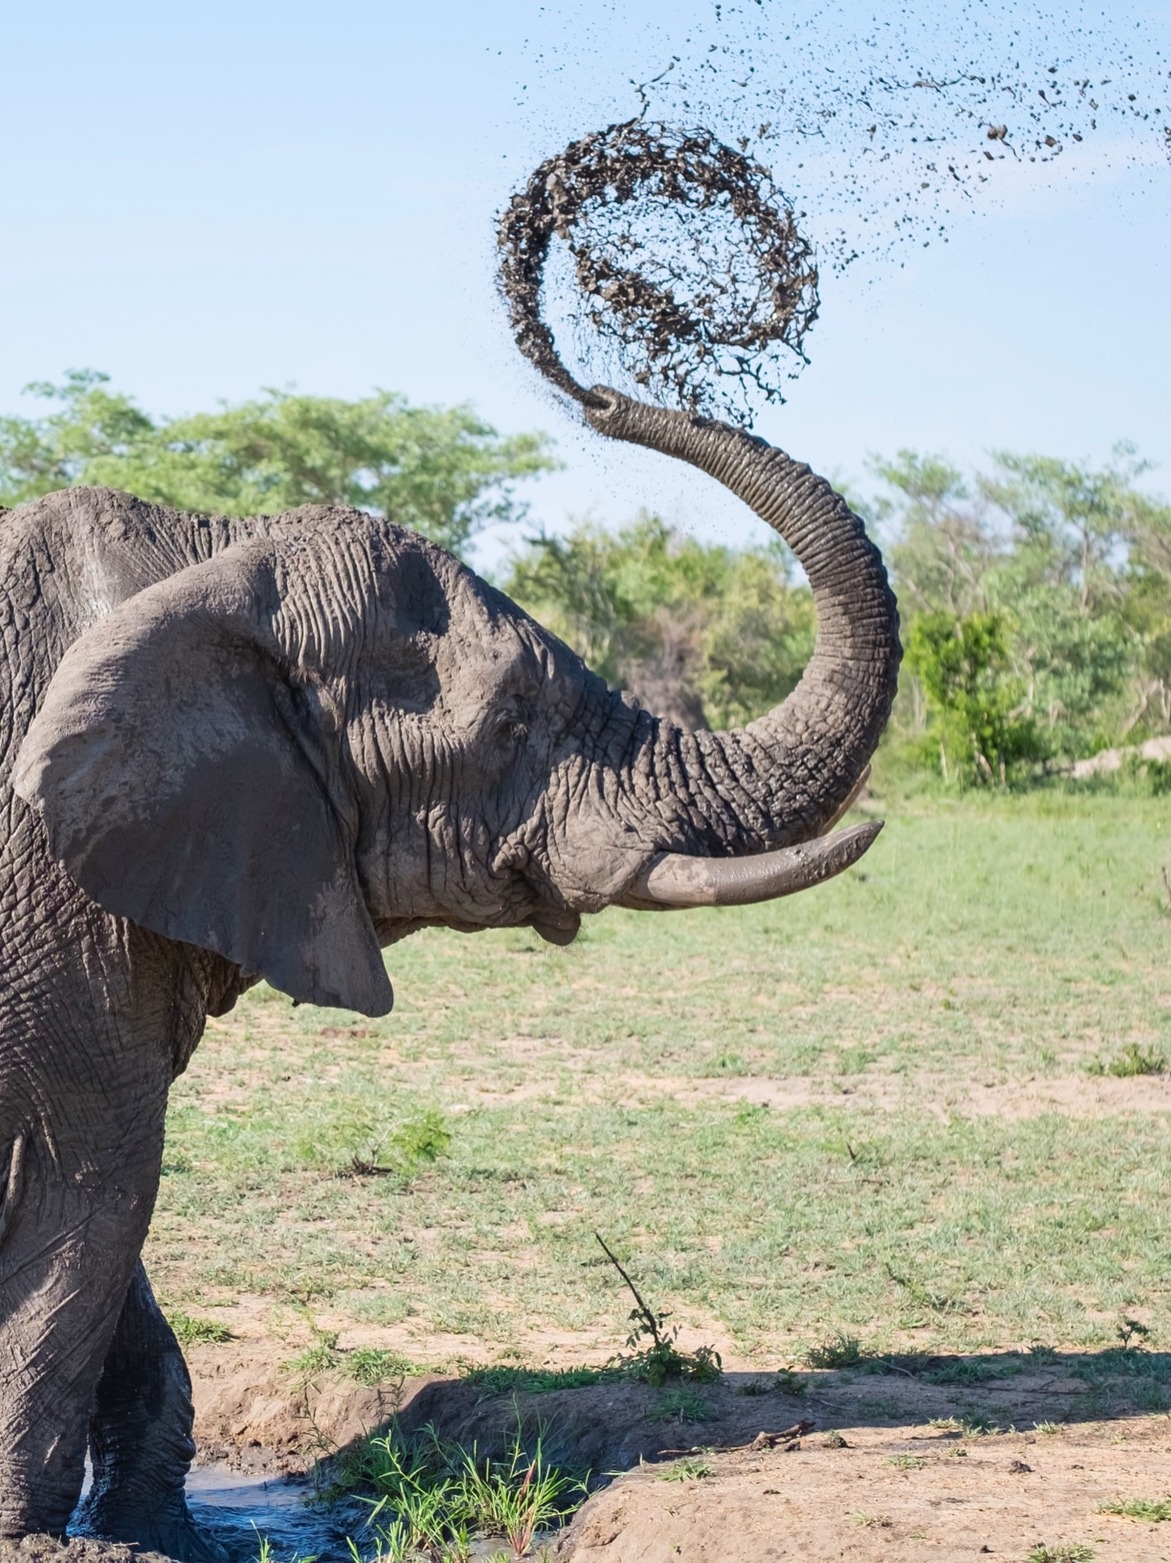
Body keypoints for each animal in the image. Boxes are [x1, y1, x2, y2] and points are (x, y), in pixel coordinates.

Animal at [0, 386, 899, 1560]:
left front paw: (163, 1539)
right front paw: (48, 1544)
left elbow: (115, 1222)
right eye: (510, 722)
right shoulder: (51, 906)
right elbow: (89, 1187)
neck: (198, 556)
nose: (589, 390)